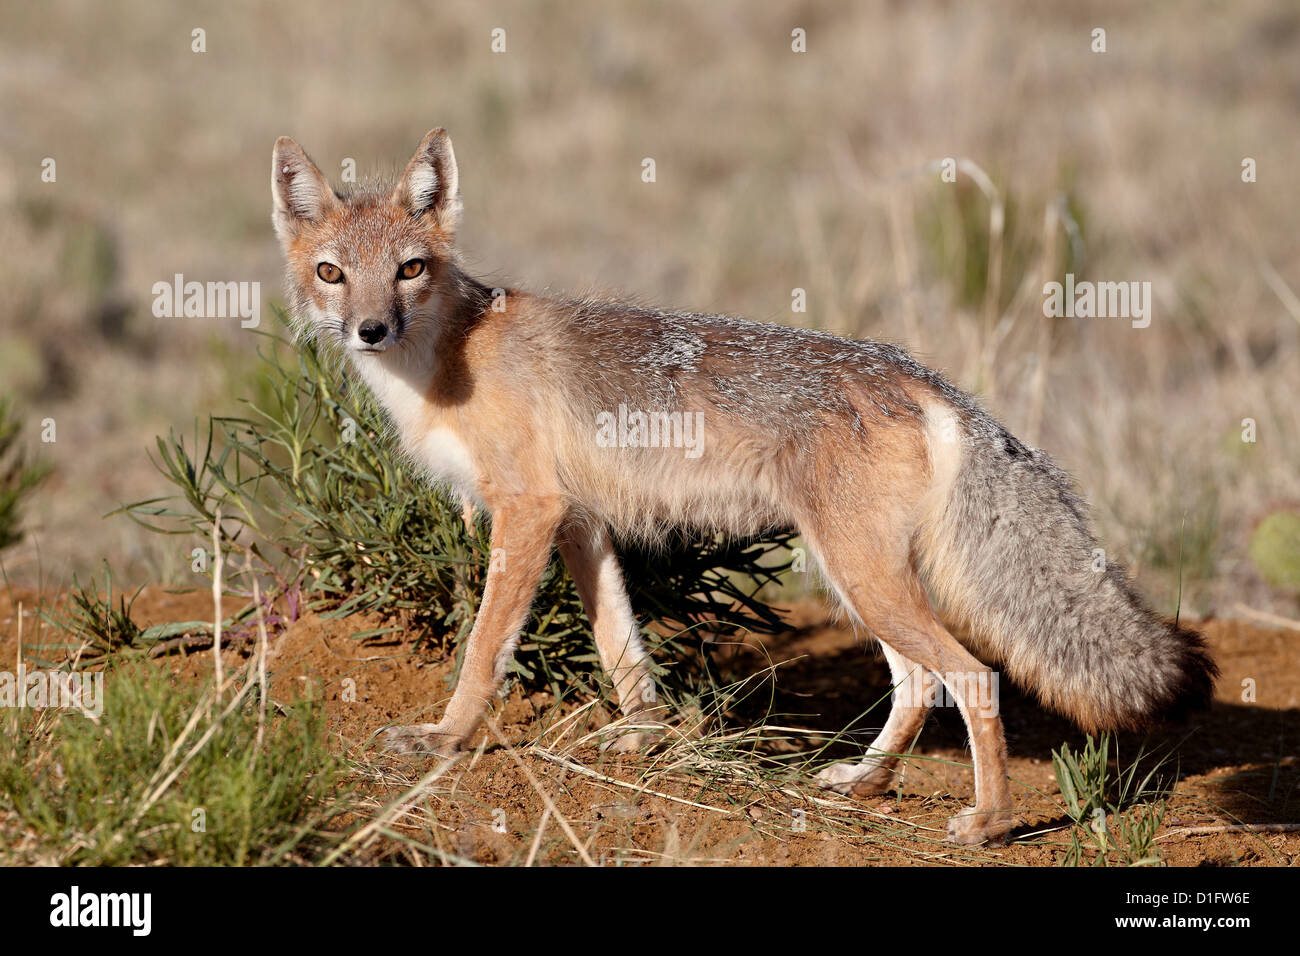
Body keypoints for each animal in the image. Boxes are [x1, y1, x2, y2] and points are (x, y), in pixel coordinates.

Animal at [270, 128, 1218, 845]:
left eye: (409, 269)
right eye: (331, 272)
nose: (369, 328)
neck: (447, 361)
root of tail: (924, 378)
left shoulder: (527, 512)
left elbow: (483, 650)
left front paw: (445, 739)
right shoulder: (579, 524)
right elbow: (621, 647)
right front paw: (644, 736)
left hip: (862, 575)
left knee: (973, 677)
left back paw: (988, 823)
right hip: (856, 578)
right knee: (919, 683)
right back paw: (865, 783)